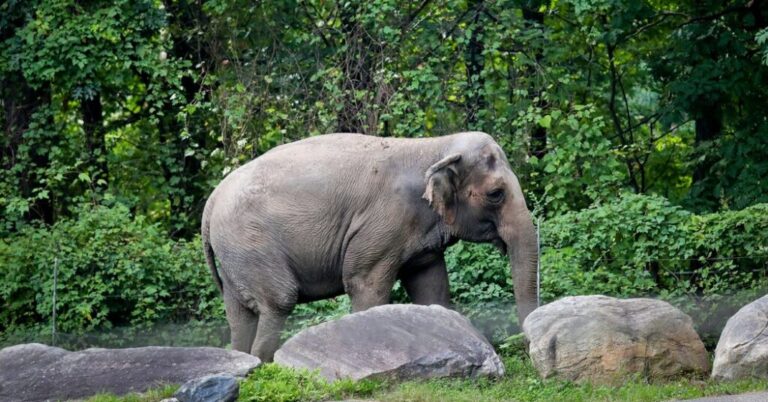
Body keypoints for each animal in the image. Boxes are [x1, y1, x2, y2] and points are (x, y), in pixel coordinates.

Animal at [201, 132, 538, 361]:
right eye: (496, 194)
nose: (525, 348)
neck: (434, 146)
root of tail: (212, 201)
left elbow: (432, 288)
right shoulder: (383, 224)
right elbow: (365, 285)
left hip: (234, 255)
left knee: (239, 314)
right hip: (250, 243)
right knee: (278, 301)